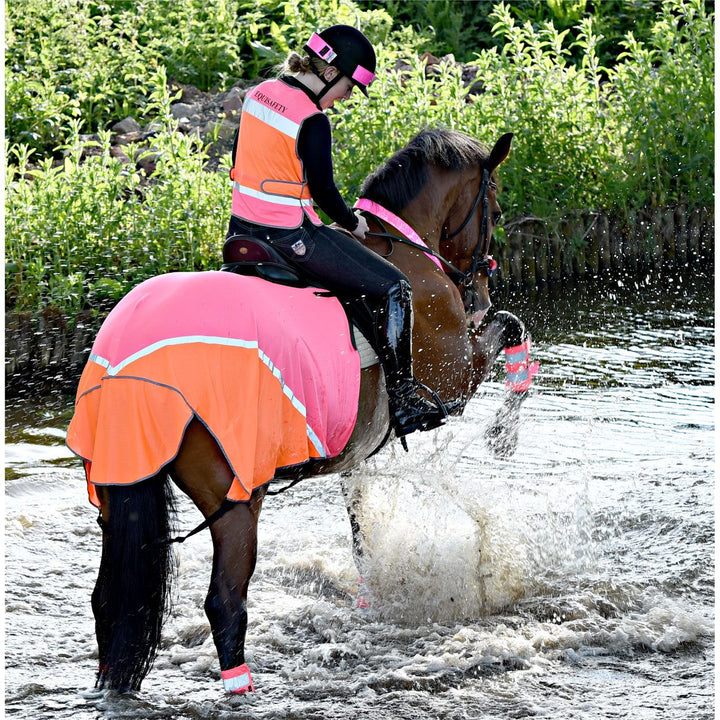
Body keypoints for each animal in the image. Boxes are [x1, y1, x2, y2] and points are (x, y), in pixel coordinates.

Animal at [66, 127, 536, 695]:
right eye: (495, 208)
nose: (480, 289)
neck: (408, 248)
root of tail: (128, 373)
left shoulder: (360, 445)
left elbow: (360, 528)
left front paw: (371, 595)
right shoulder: (455, 376)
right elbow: (511, 326)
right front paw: (504, 431)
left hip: (119, 483)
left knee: (110, 603)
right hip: (236, 497)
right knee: (225, 603)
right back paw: (241, 688)